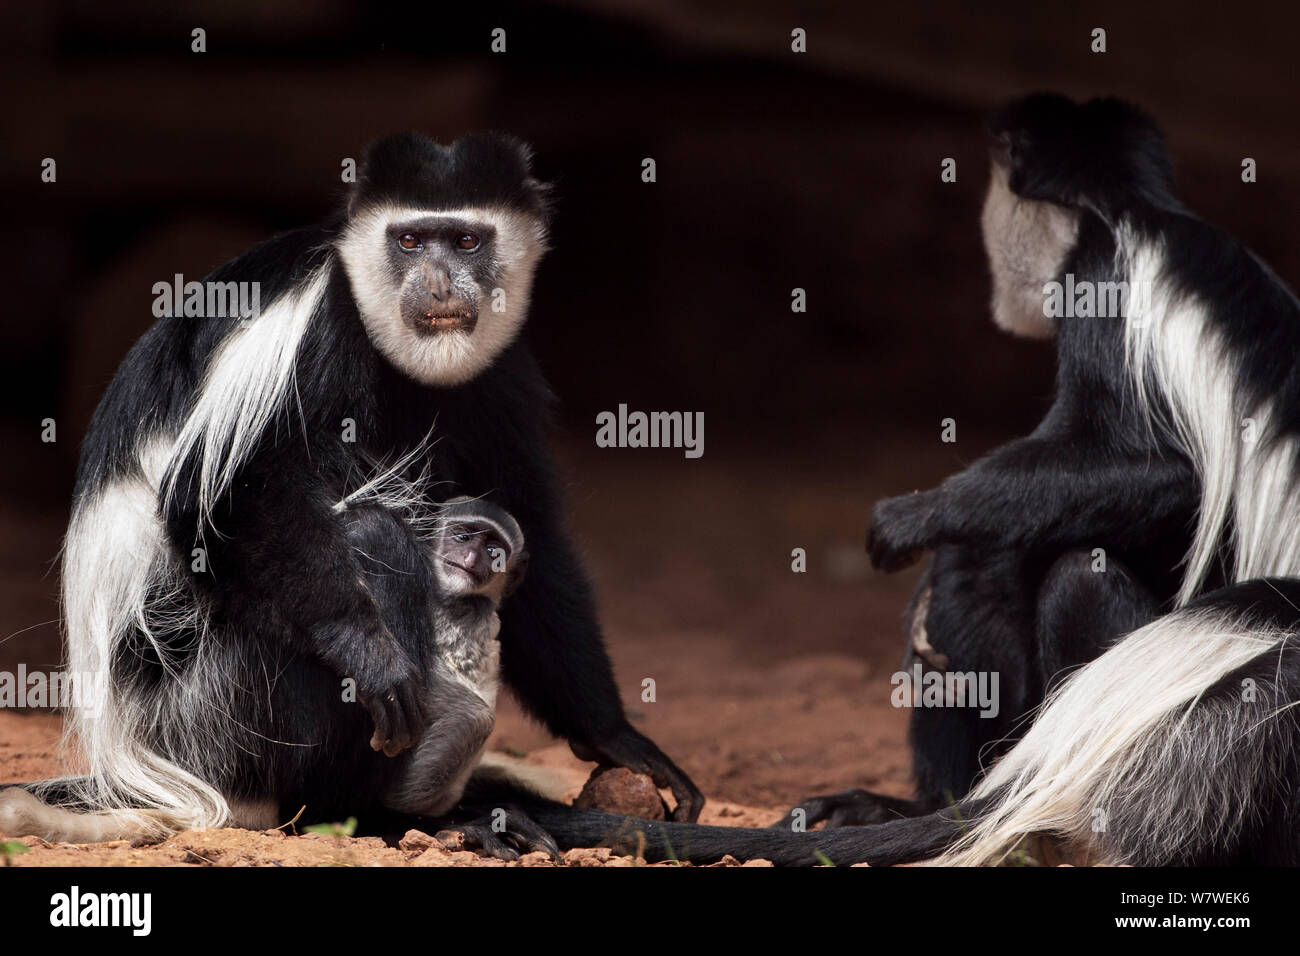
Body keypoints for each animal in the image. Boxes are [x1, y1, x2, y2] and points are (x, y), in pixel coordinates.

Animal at [0, 131, 702, 849]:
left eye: (467, 241)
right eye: (411, 241)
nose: (439, 283)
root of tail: (134, 747)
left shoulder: (501, 369)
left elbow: (533, 526)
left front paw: (617, 738)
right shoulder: (309, 332)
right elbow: (224, 499)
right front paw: (367, 652)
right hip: (215, 707)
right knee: (369, 537)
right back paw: (382, 811)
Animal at [502, 94, 1300, 865]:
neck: (1133, 214)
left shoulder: (1100, 283)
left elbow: (1165, 470)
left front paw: (913, 518)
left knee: (1072, 569)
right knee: (987, 575)